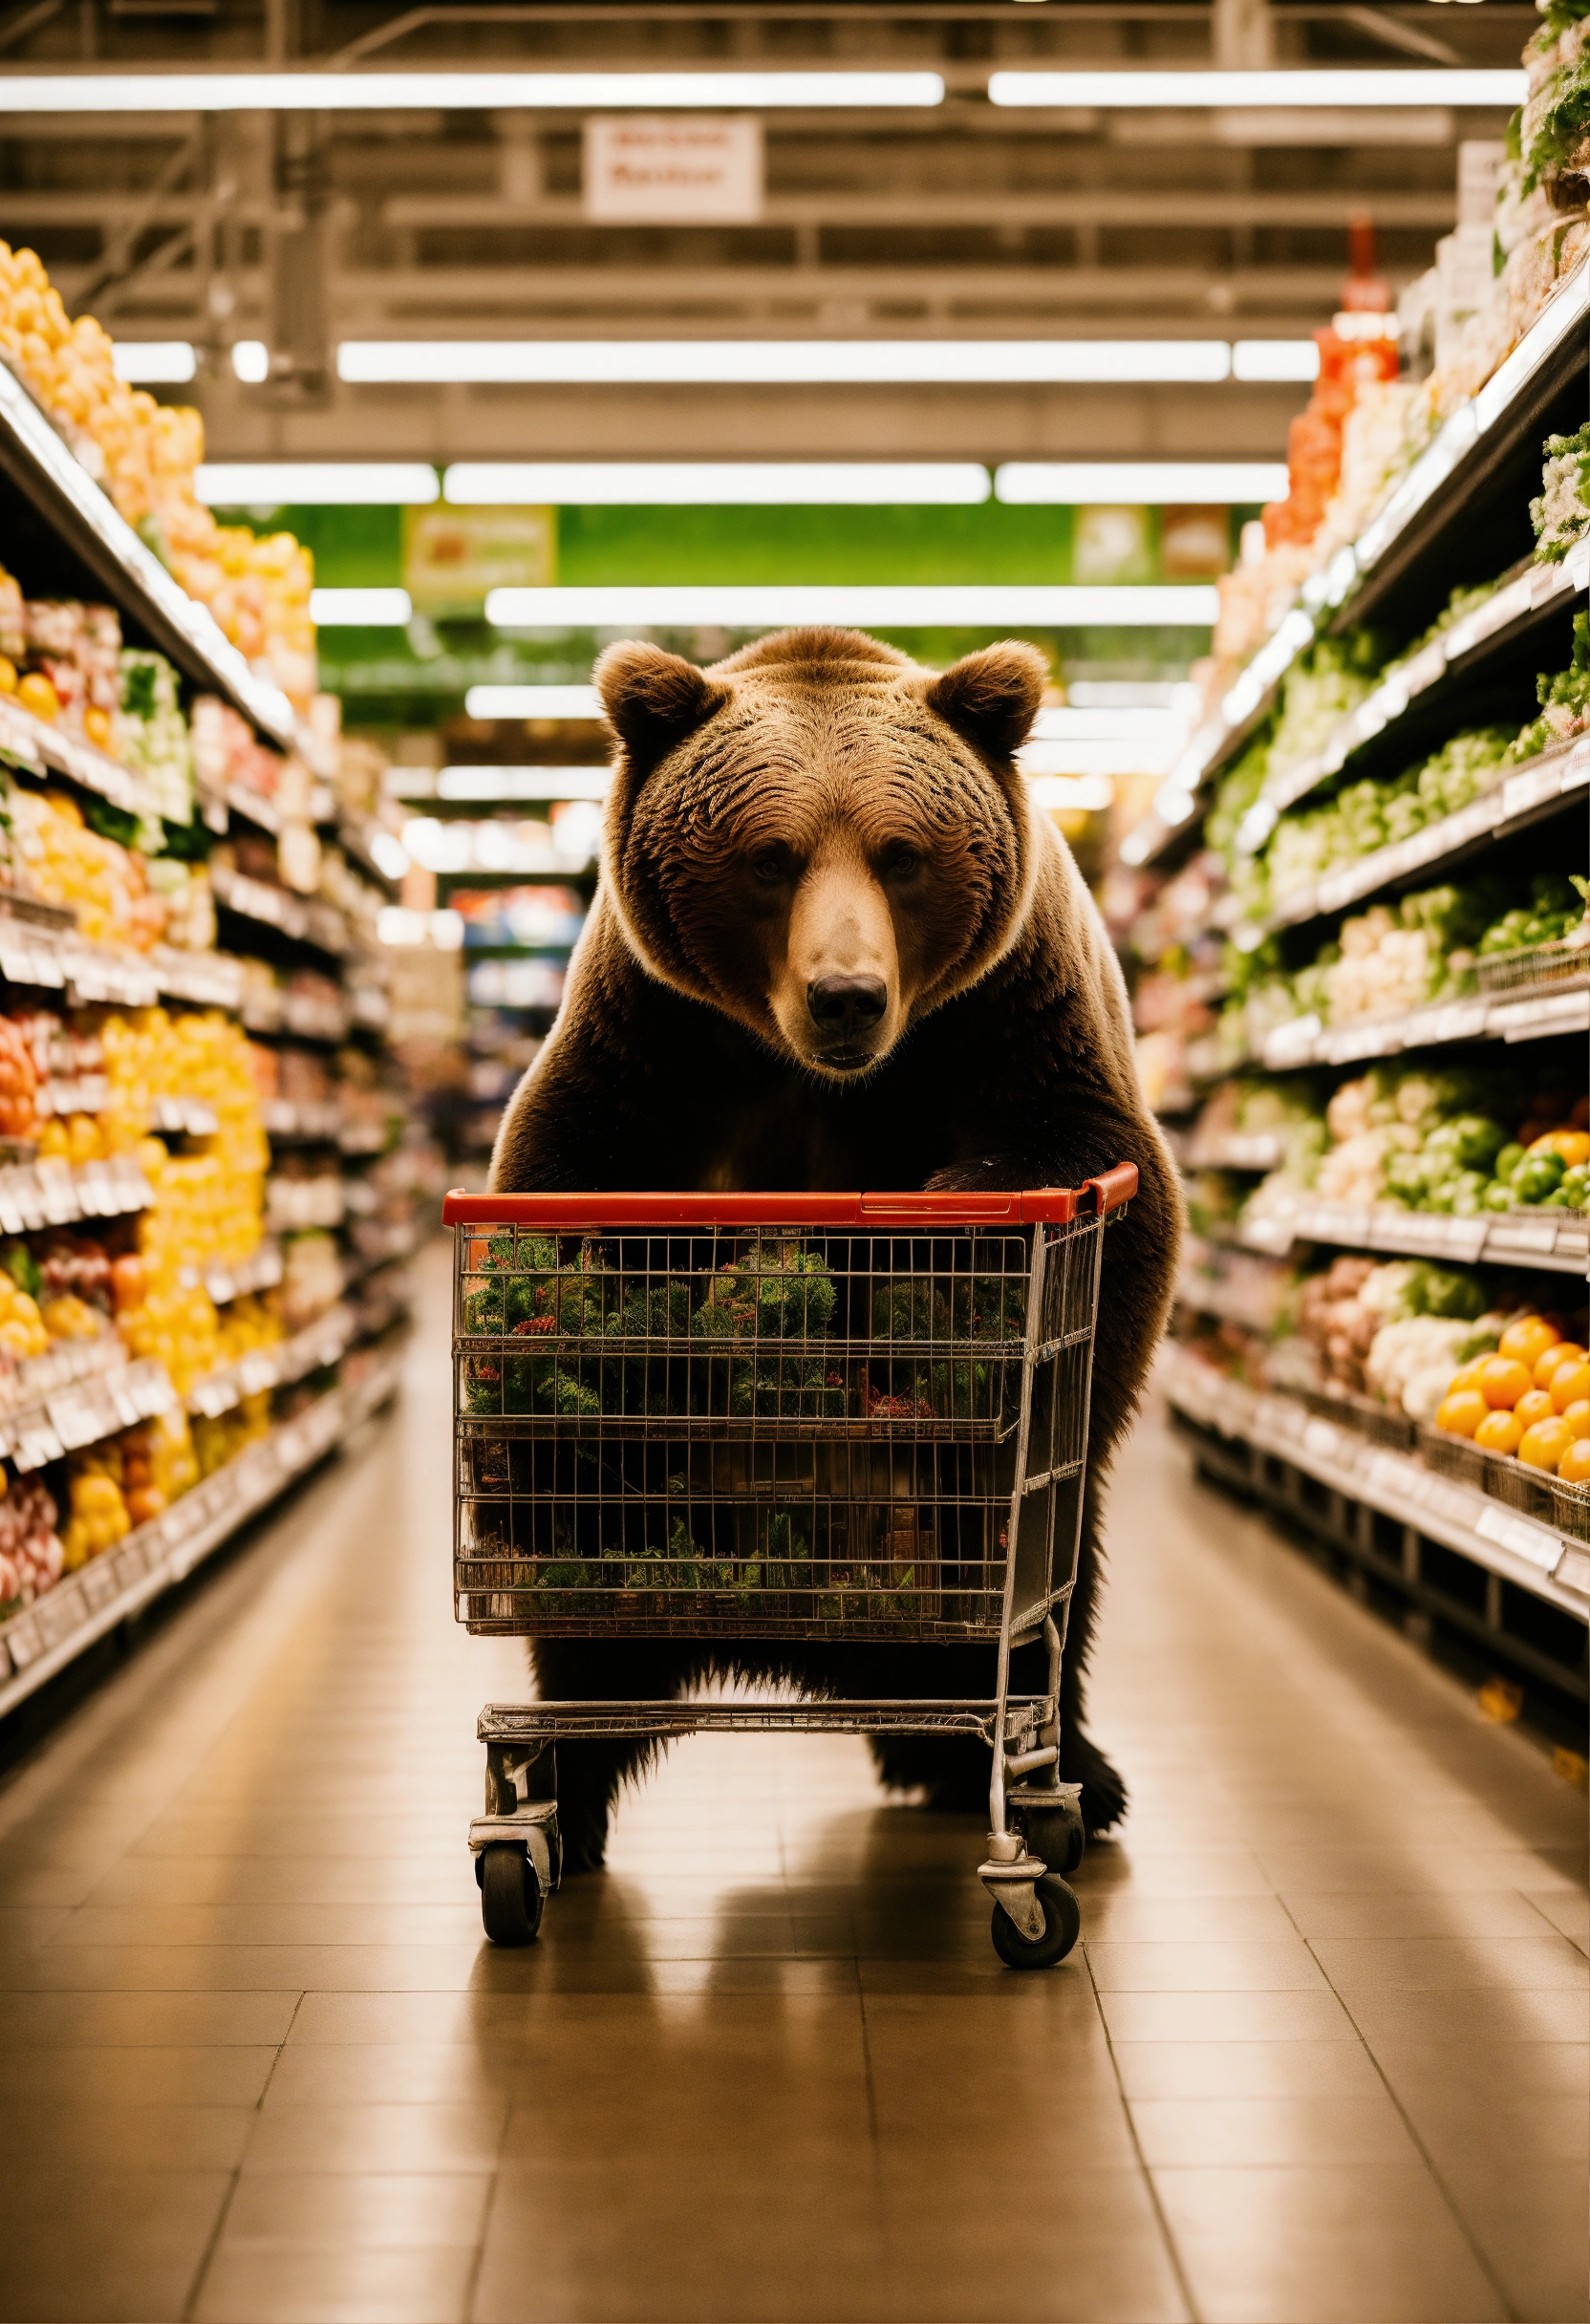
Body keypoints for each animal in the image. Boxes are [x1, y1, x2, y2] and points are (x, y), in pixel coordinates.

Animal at [491, 625, 1182, 1872]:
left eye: (901, 855)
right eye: (770, 858)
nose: (845, 994)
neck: (815, 1075)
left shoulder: (1015, 1016)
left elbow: (1088, 1169)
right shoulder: (651, 1045)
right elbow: (568, 1207)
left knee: (1039, 1588)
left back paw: (1054, 1769)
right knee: (588, 1612)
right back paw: (571, 1777)